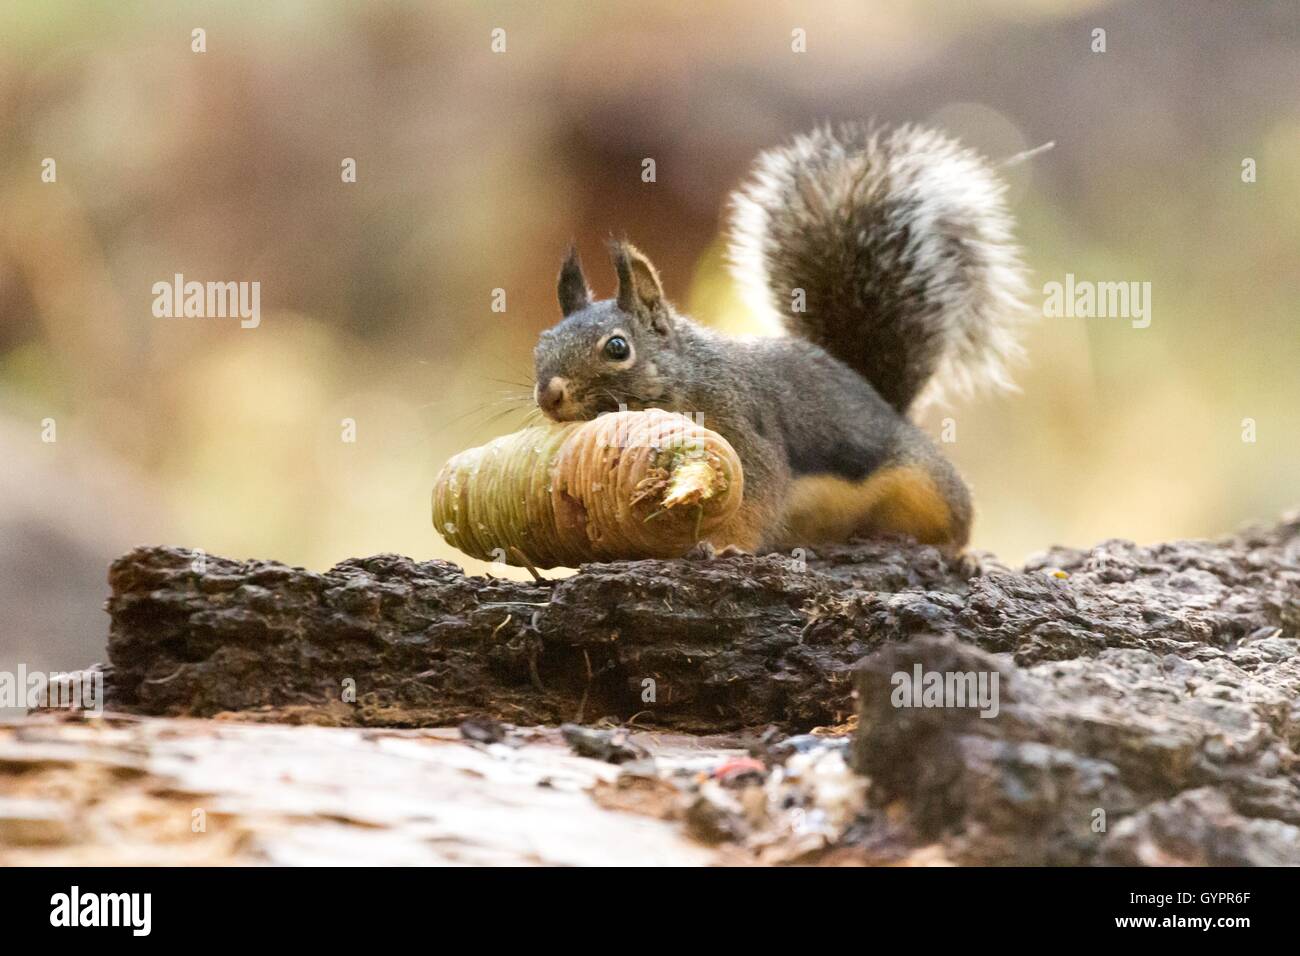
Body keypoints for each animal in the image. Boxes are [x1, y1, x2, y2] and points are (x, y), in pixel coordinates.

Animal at [532, 123, 1028, 554]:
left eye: (618, 348)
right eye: (540, 344)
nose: (549, 395)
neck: (684, 378)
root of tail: (884, 402)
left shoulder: (745, 431)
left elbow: (755, 496)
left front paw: (724, 545)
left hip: (923, 481)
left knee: (954, 519)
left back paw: (959, 552)